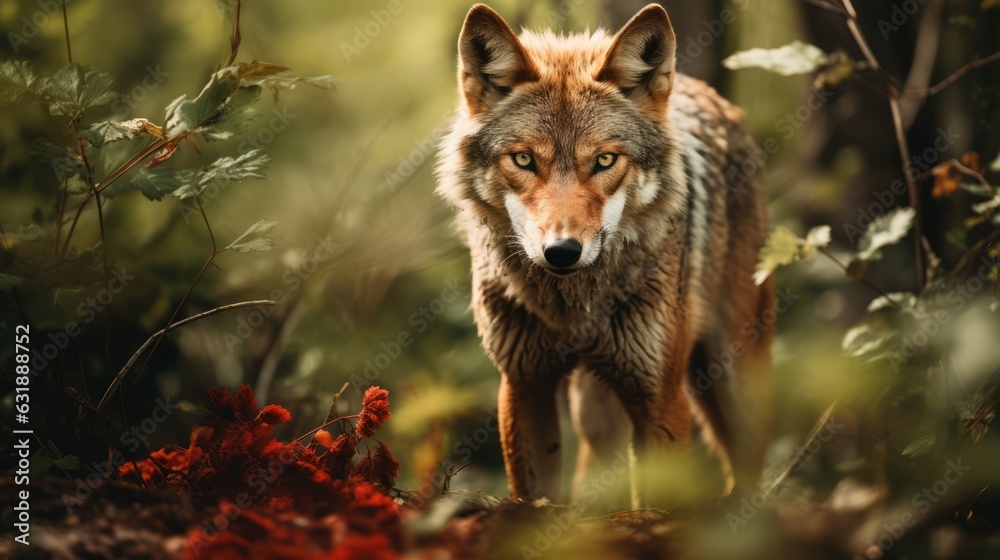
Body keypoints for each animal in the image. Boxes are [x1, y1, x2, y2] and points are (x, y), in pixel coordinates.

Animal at [436, 3, 773, 506]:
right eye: (523, 160)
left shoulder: (659, 397)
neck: (572, 309)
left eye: (605, 161)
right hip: (596, 416)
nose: (561, 251)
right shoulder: (525, 385)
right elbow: (535, 497)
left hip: (732, 382)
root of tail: (714, 98)